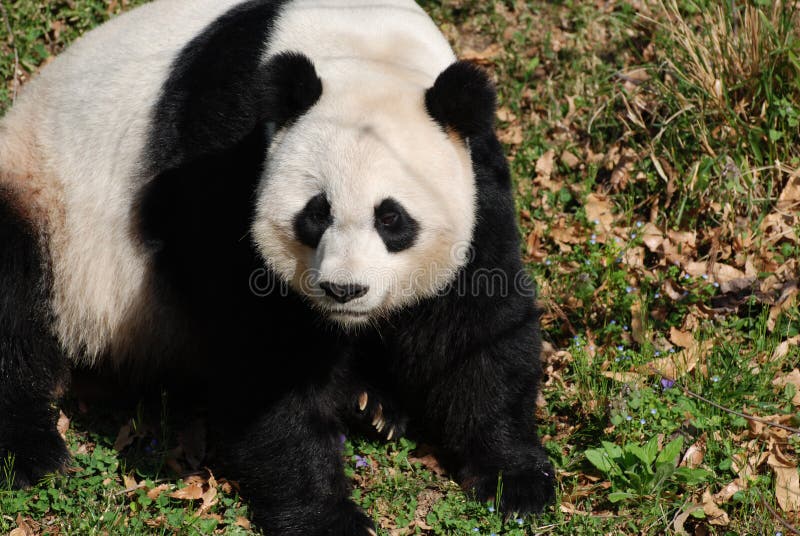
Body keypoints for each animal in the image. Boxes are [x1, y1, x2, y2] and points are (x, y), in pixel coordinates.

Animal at [0, 0, 555, 534]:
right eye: (317, 213)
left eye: (391, 218)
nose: (344, 290)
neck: (363, 45)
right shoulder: (226, 150)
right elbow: (261, 346)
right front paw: (327, 515)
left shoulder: (476, 171)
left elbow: (476, 322)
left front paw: (516, 479)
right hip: (44, 196)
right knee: (15, 294)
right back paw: (30, 452)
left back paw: (371, 406)